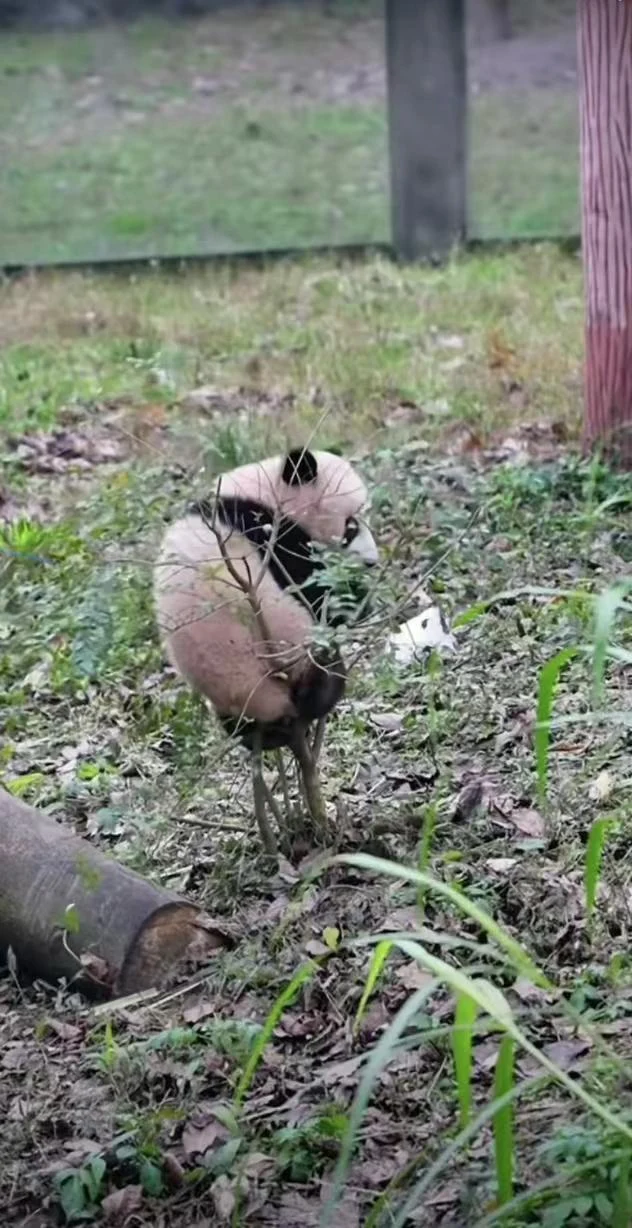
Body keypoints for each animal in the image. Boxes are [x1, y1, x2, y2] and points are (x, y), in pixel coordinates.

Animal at [153, 446, 379, 754]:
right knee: (322, 676)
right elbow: (317, 592)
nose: (371, 562)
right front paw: (358, 599)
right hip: (294, 648)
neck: (261, 494)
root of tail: (265, 702)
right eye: (351, 526)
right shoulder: (273, 537)